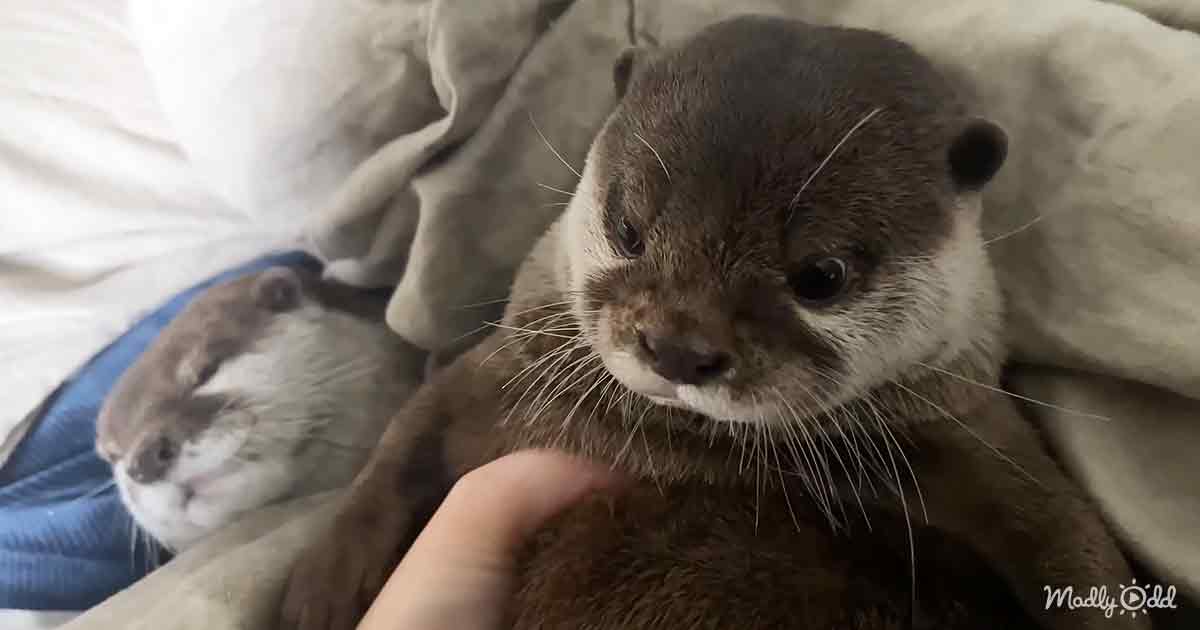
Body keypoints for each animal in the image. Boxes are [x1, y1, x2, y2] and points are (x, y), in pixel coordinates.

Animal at [280, 16, 1147, 630]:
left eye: (820, 277)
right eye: (628, 227)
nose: (678, 348)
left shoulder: (976, 444)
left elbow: (1076, 550)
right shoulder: (503, 371)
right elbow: (401, 444)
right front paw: (316, 592)